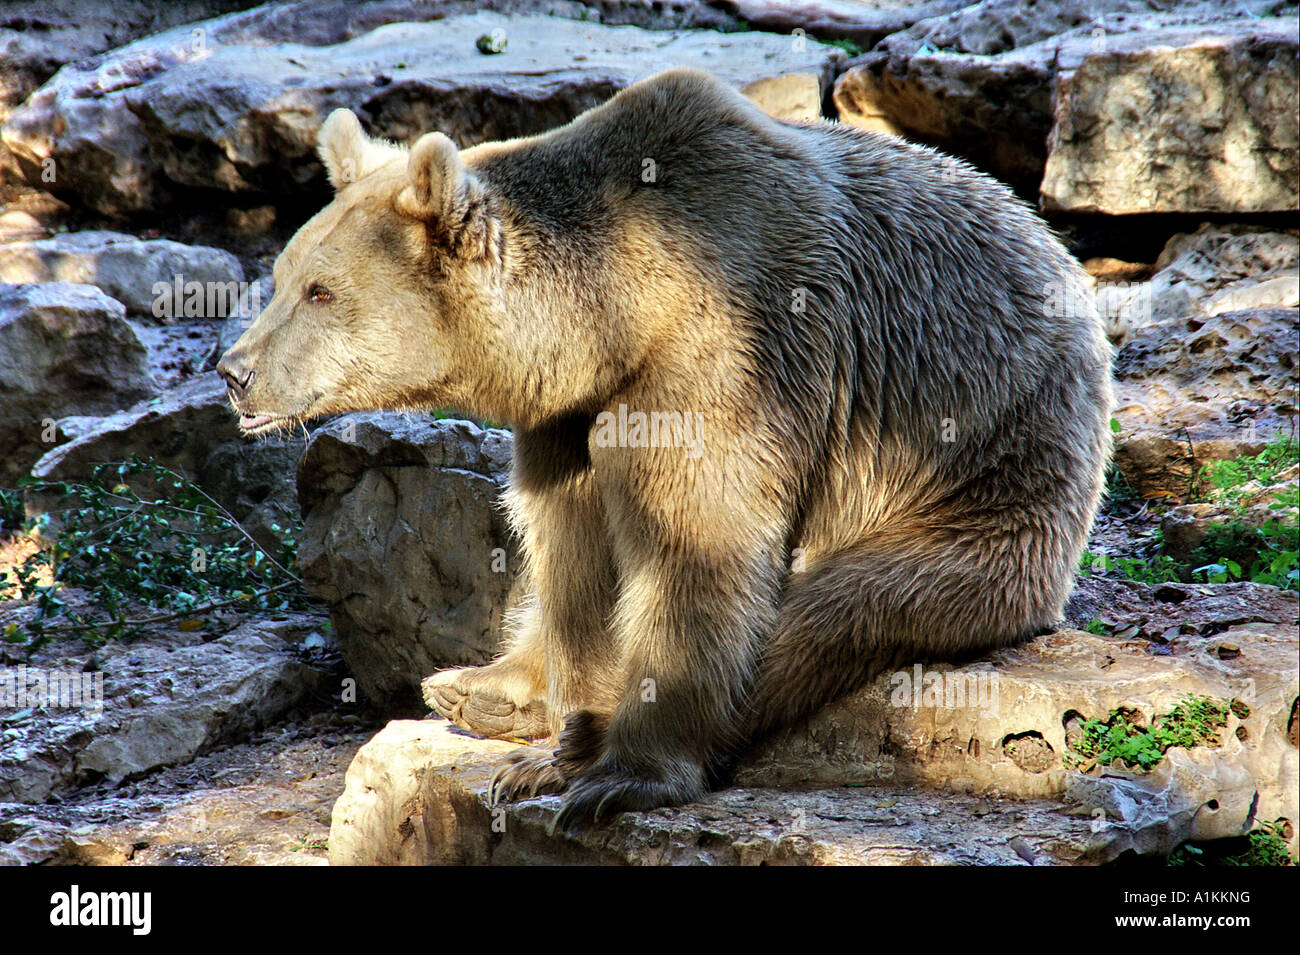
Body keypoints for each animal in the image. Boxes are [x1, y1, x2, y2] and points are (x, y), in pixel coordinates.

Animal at [217, 67, 1113, 830]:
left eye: (321, 290)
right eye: (284, 274)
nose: (234, 372)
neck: (620, 311)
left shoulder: (731, 355)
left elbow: (698, 544)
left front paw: (614, 773)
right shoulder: (567, 419)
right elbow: (566, 549)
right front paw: (541, 708)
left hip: (985, 472)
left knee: (842, 607)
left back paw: (581, 737)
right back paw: (485, 691)